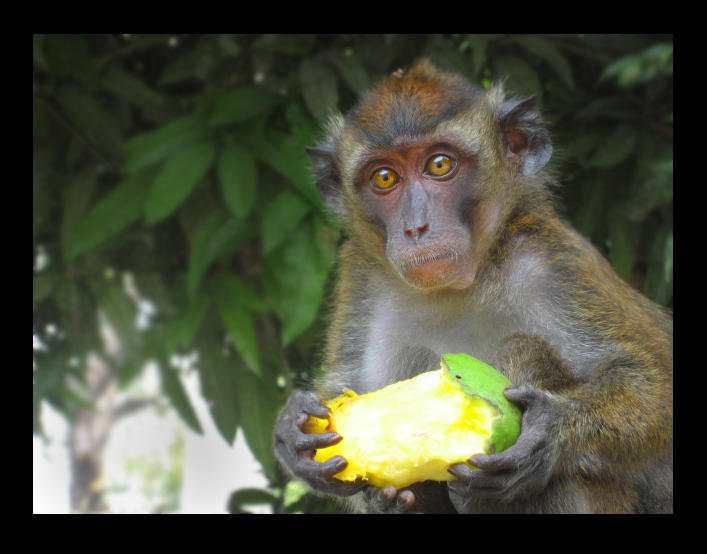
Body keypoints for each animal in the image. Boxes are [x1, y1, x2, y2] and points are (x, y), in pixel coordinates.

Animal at [272, 59, 673, 514]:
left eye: (439, 165)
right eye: (385, 177)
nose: (416, 227)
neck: (467, 279)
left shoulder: (553, 262)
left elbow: (651, 380)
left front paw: (546, 433)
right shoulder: (362, 275)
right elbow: (350, 386)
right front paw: (294, 433)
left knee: (521, 348)